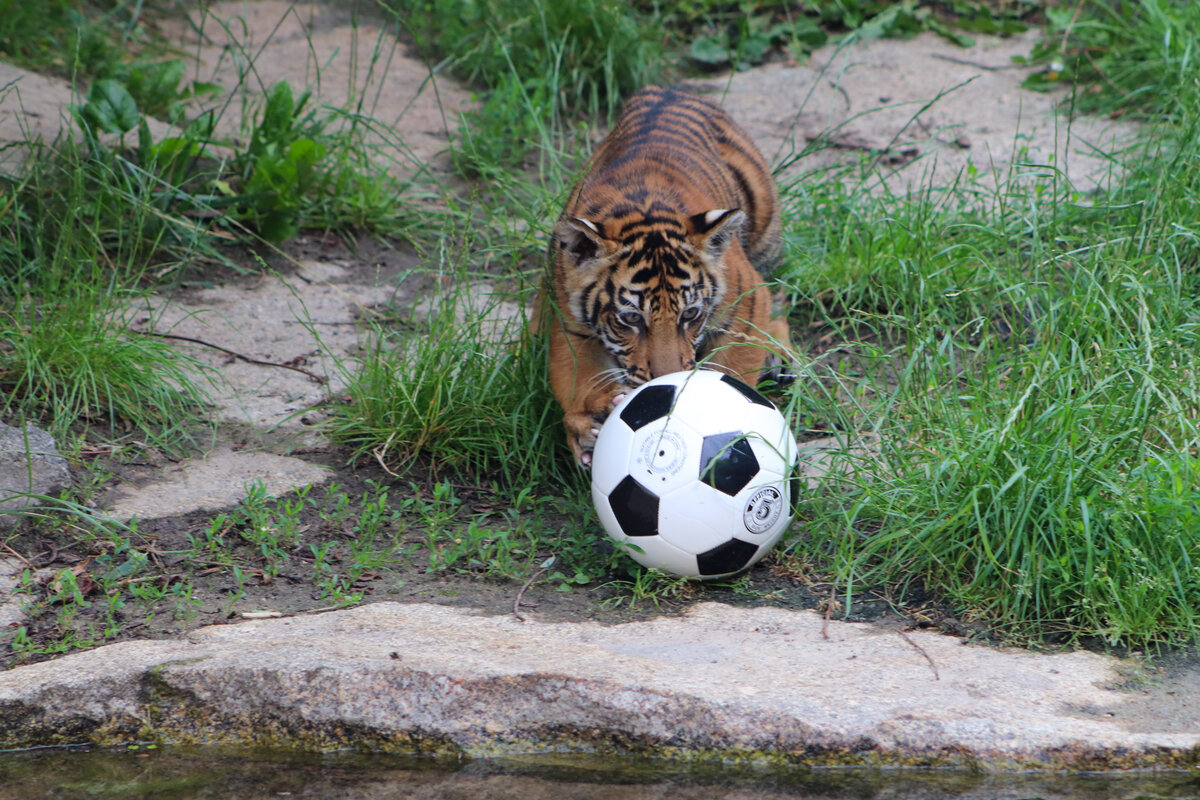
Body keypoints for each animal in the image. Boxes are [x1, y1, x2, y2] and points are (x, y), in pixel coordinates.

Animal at [542, 85, 792, 467]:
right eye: (630, 319)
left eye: (690, 314)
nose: (666, 381)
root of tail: (669, 89)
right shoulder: (569, 323)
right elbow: (577, 377)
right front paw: (589, 424)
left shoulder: (747, 298)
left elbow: (735, 367)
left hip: (765, 239)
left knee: (780, 302)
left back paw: (778, 357)